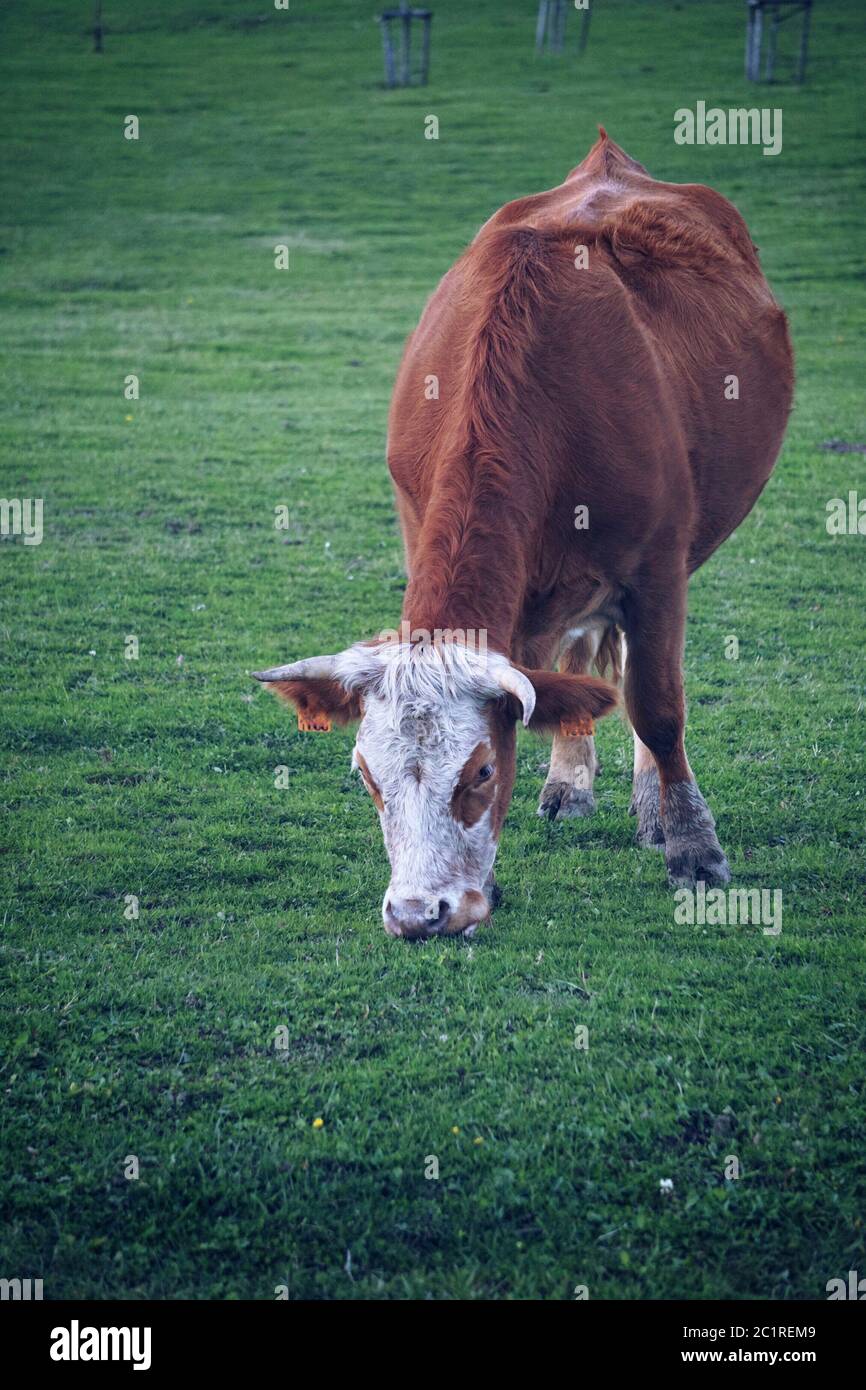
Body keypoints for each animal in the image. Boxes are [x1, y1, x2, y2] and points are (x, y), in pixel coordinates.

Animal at [254, 131, 794, 940]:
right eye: (366, 776)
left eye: (480, 770)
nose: (418, 913)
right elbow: (559, 689)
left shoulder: (659, 568)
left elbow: (658, 704)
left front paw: (694, 849)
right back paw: (571, 783)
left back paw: (652, 805)